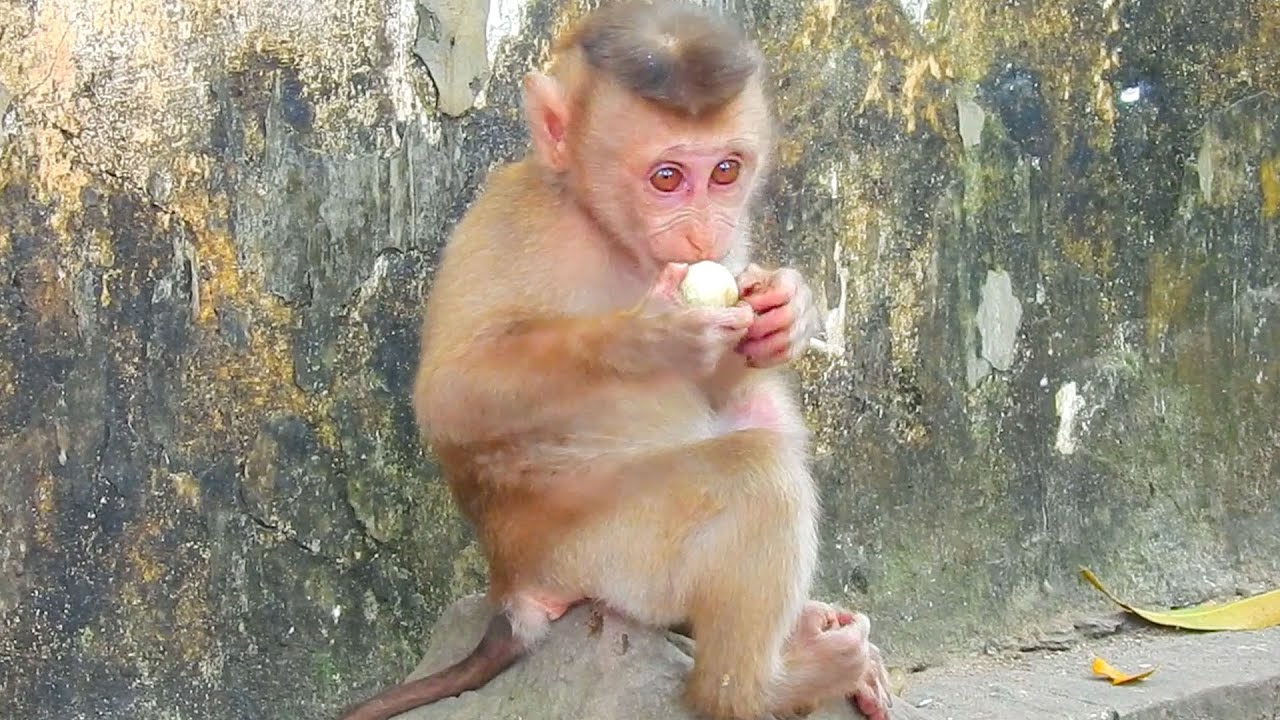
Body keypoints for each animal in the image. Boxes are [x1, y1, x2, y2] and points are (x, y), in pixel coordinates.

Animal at [339, 2, 893, 719]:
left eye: (725, 172)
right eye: (667, 178)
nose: (704, 232)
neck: (603, 229)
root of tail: (511, 585)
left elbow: (732, 372)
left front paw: (787, 309)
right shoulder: (512, 219)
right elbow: (449, 395)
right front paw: (648, 336)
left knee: (759, 407)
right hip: (607, 552)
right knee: (755, 476)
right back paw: (758, 688)